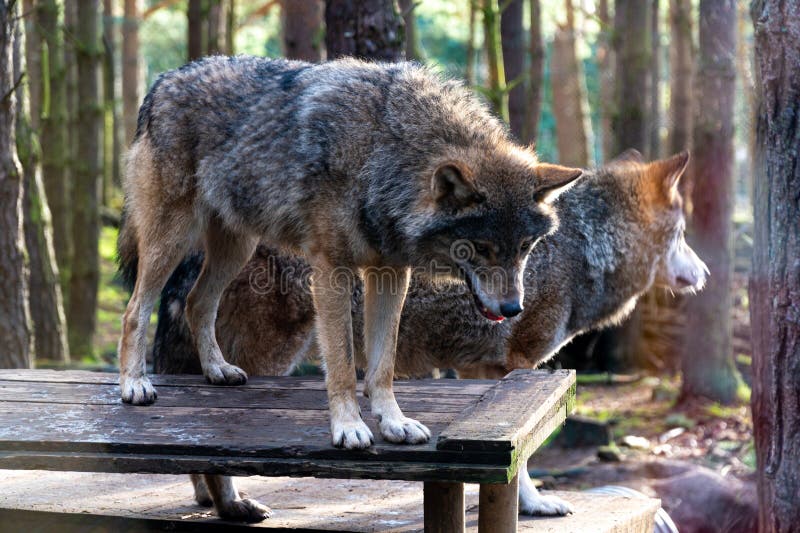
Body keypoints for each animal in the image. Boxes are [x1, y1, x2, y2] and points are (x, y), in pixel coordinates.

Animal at [119, 55, 583, 456]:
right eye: (480, 248)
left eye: (525, 247)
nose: (512, 308)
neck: (383, 155)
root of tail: (163, 81)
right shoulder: (332, 272)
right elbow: (342, 365)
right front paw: (349, 427)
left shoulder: (391, 273)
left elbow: (382, 365)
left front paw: (394, 422)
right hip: (171, 240)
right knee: (135, 309)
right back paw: (134, 385)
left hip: (237, 248)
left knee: (197, 303)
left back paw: (217, 370)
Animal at [148, 150, 708, 521]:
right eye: (683, 234)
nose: (703, 274)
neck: (585, 245)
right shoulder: (517, 365)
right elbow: (524, 454)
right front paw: (532, 504)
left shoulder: (481, 369)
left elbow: (514, 448)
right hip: (268, 361)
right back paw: (233, 504)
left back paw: (207, 499)